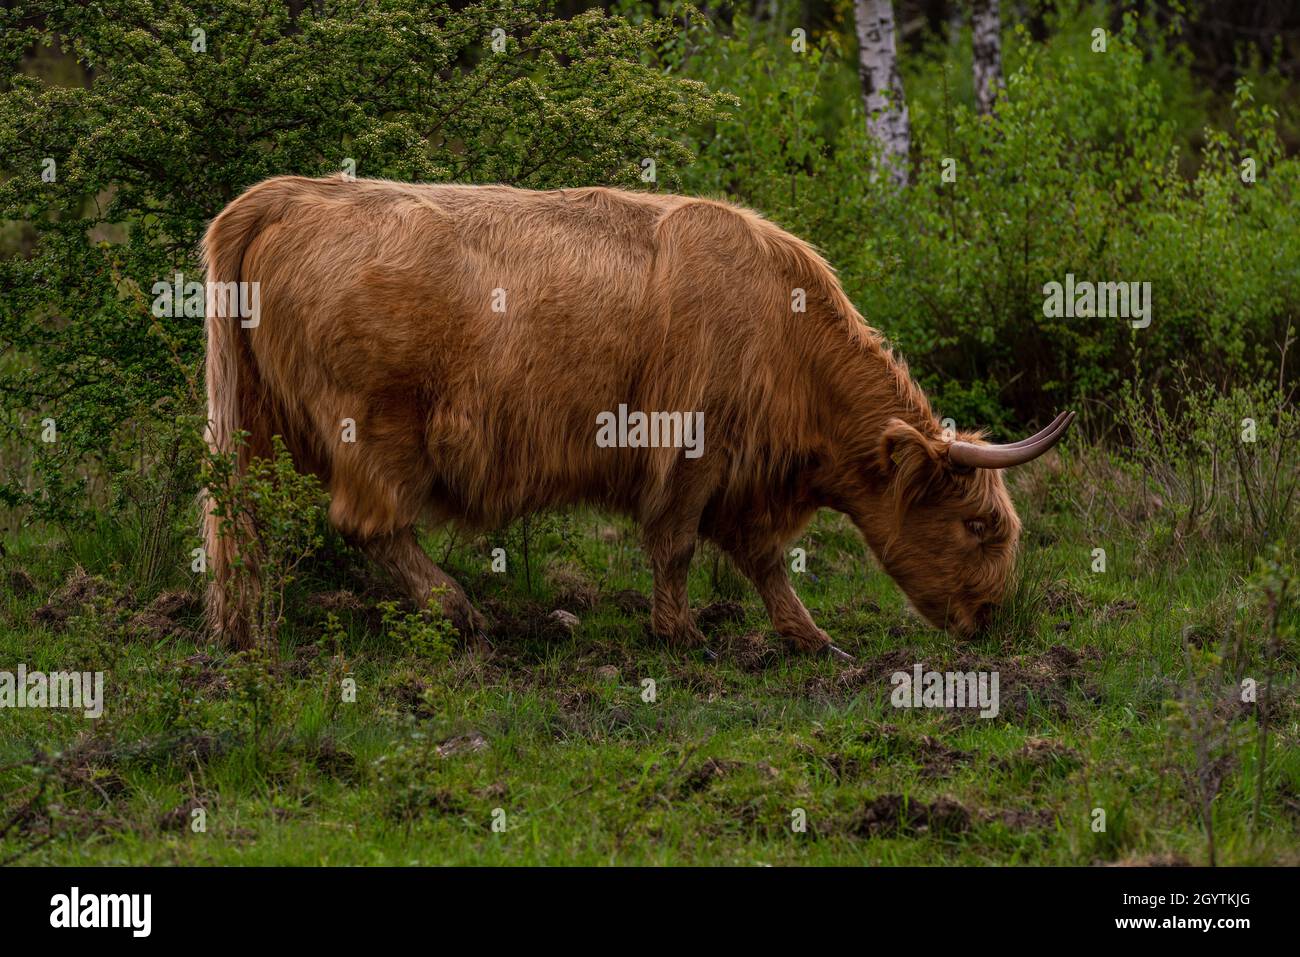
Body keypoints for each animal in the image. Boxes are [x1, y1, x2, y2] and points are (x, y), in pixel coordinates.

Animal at [202, 175, 1072, 656]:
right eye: (980, 526)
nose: (991, 616)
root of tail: (285, 192)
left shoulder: (742, 478)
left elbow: (762, 561)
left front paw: (810, 638)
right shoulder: (692, 446)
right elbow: (679, 544)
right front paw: (681, 634)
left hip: (251, 422)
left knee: (240, 517)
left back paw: (247, 627)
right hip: (375, 426)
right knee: (369, 522)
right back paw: (460, 611)